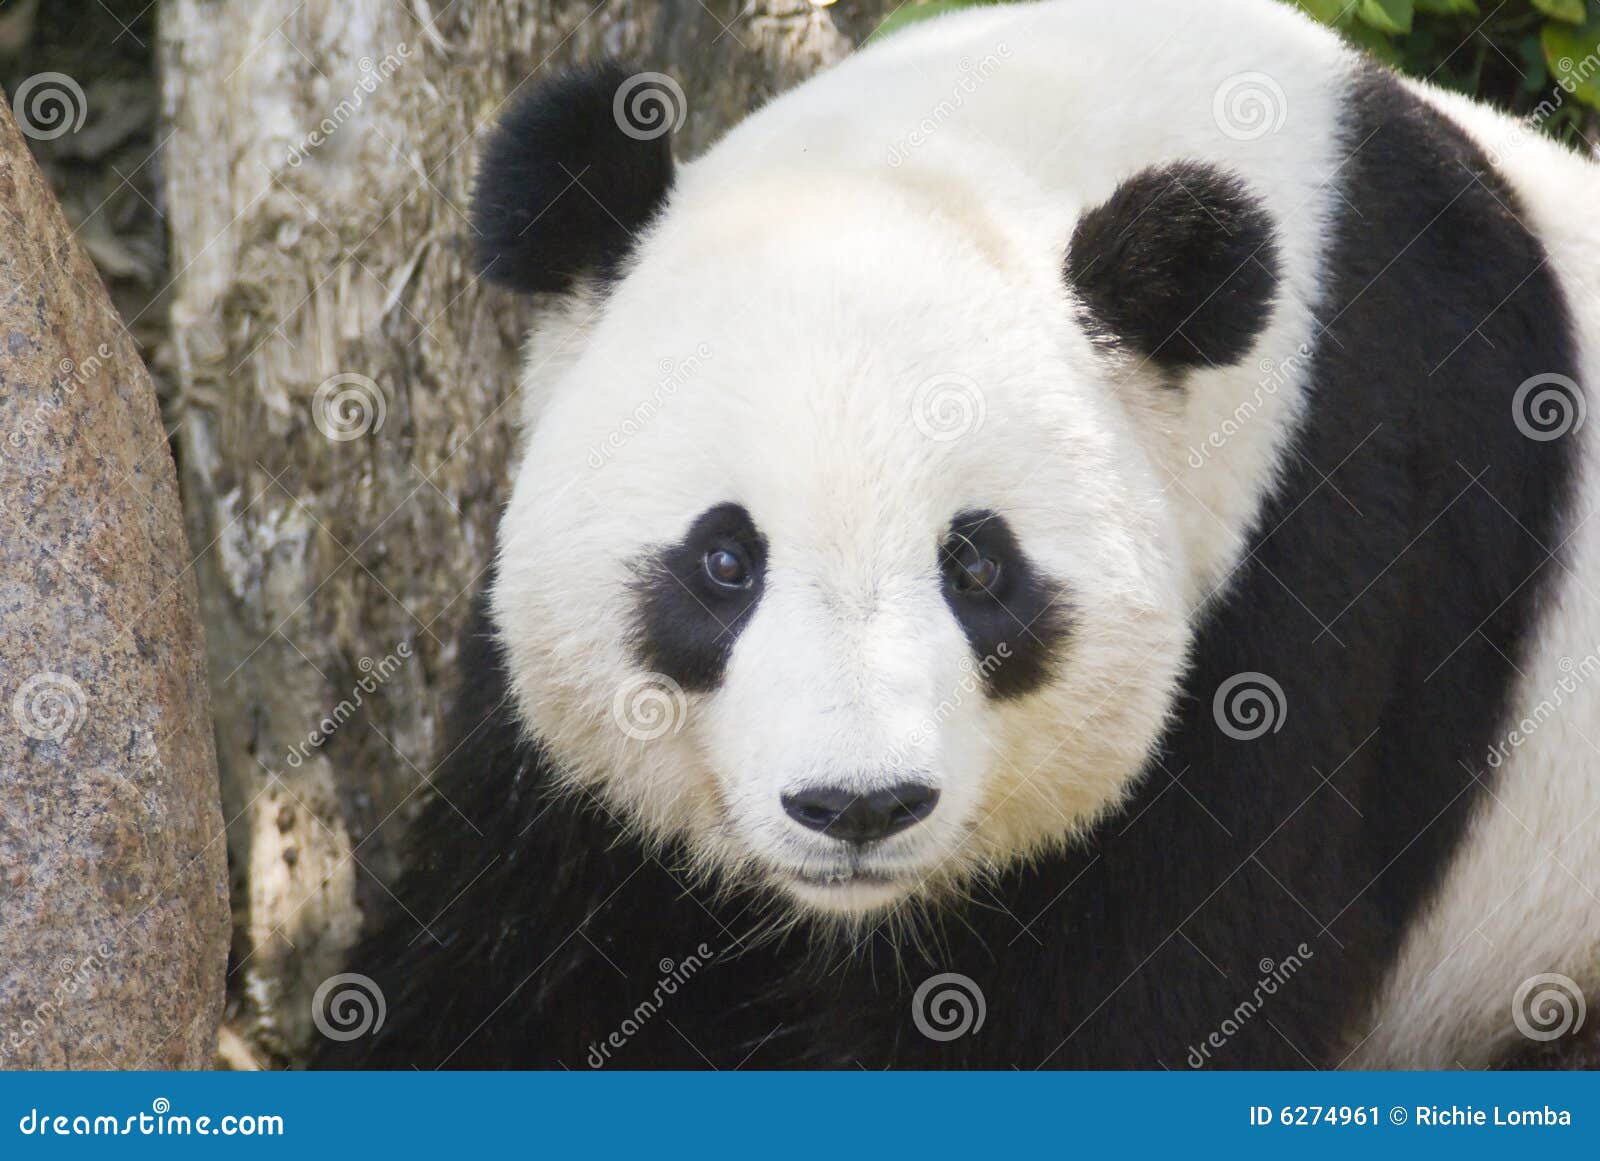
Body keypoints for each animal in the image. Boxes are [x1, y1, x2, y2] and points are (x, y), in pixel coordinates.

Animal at [325, 0, 1600, 1069]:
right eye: (724, 560)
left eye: (977, 565)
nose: (857, 808)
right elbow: (517, 946)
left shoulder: (1322, 557)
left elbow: (1146, 995)